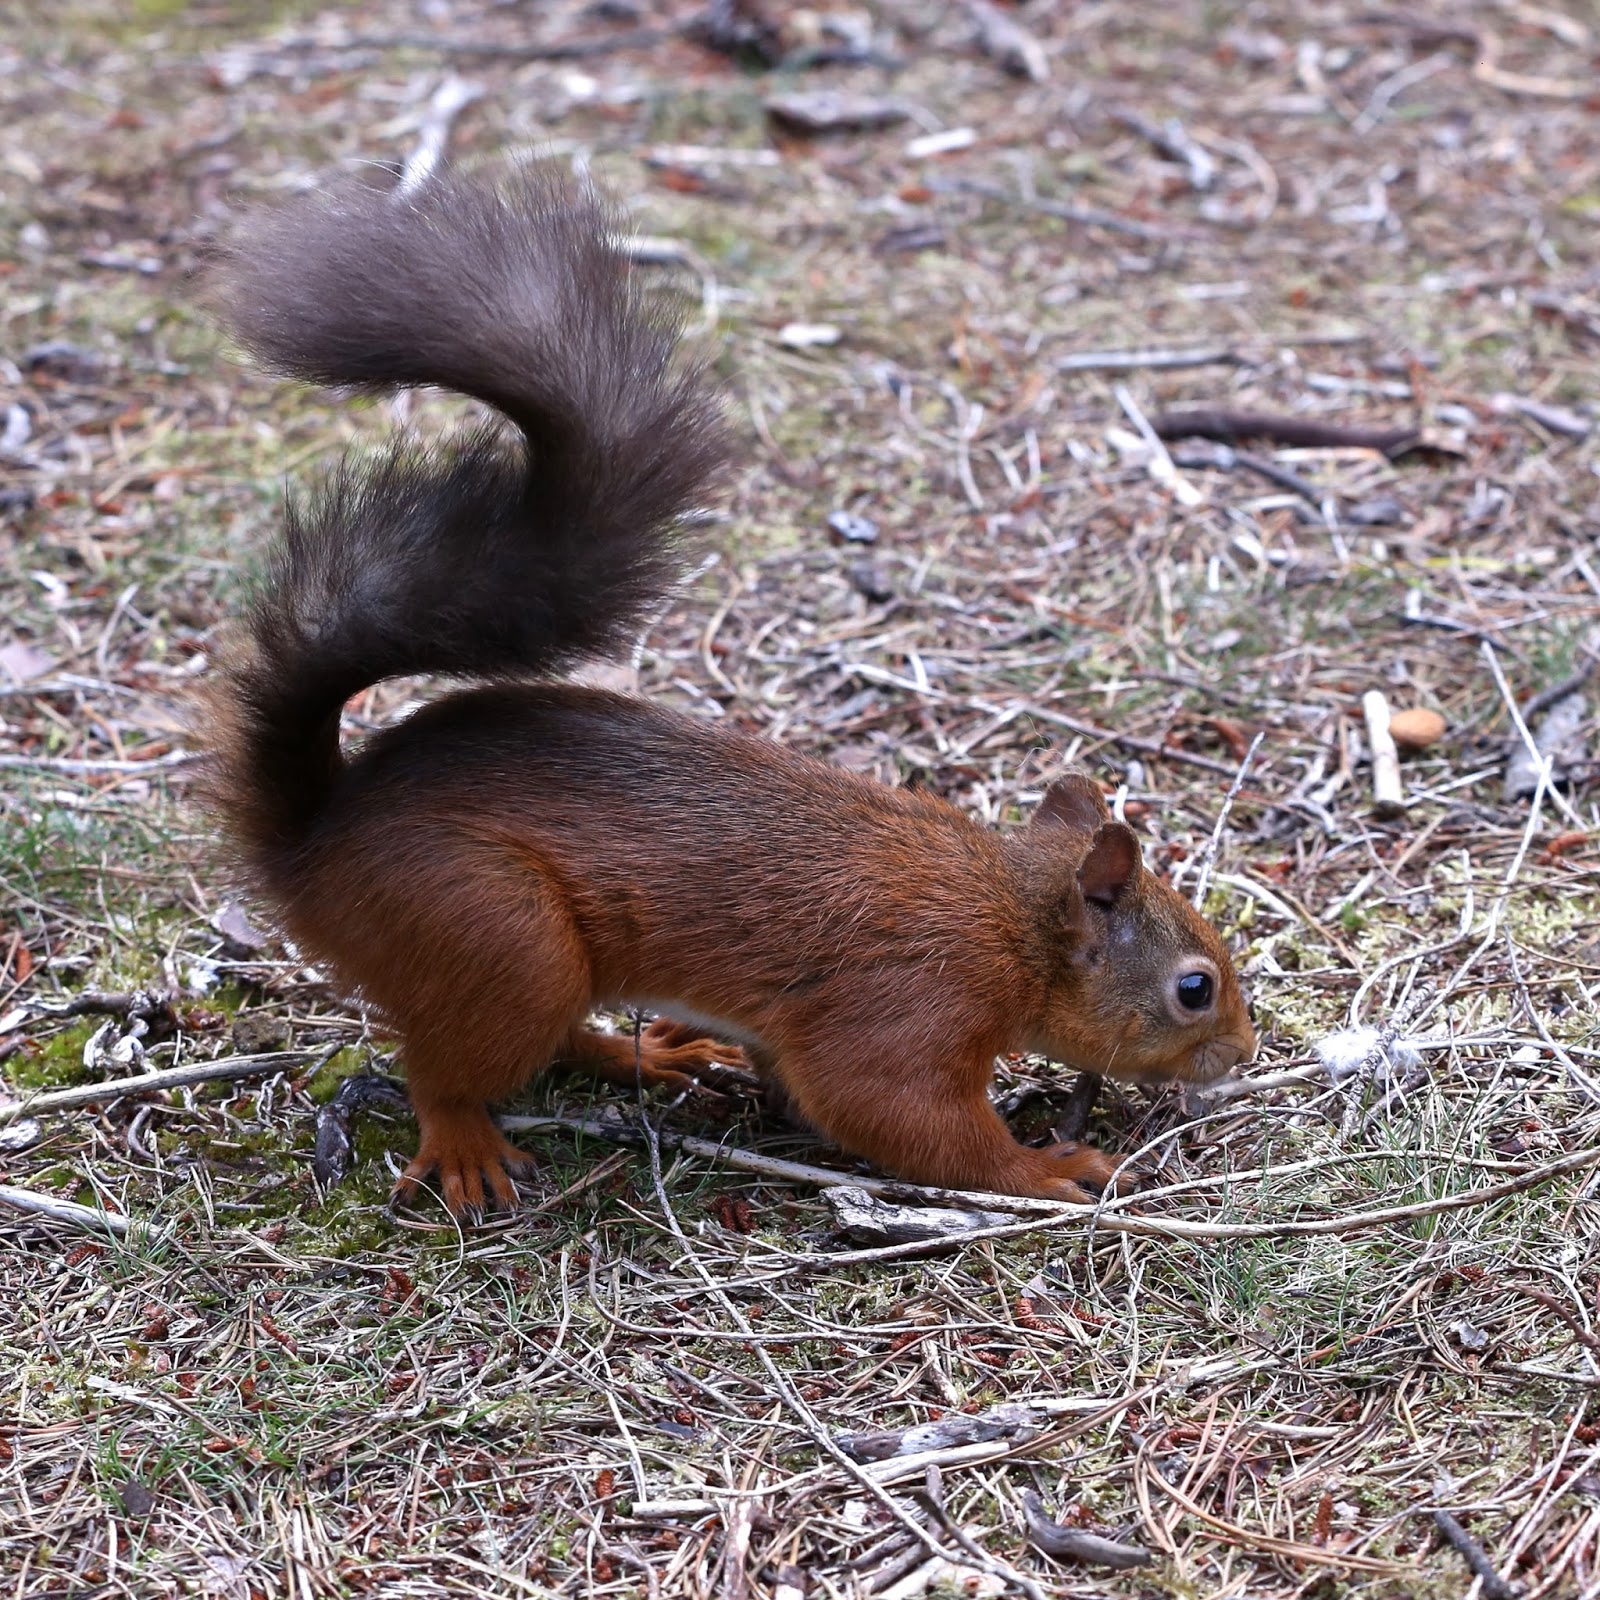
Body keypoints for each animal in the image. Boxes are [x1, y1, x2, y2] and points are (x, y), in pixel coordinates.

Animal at [203, 166, 1256, 1218]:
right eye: (1193, 988)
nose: (1245, 1054)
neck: (1015, 922)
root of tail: (309, 850)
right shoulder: (914, 1002)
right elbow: (898, 1115)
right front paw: (1048, 1166)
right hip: (498, 933)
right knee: (446, 1068)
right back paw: (467, 1142)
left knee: (551, 1041)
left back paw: (645, 1057)